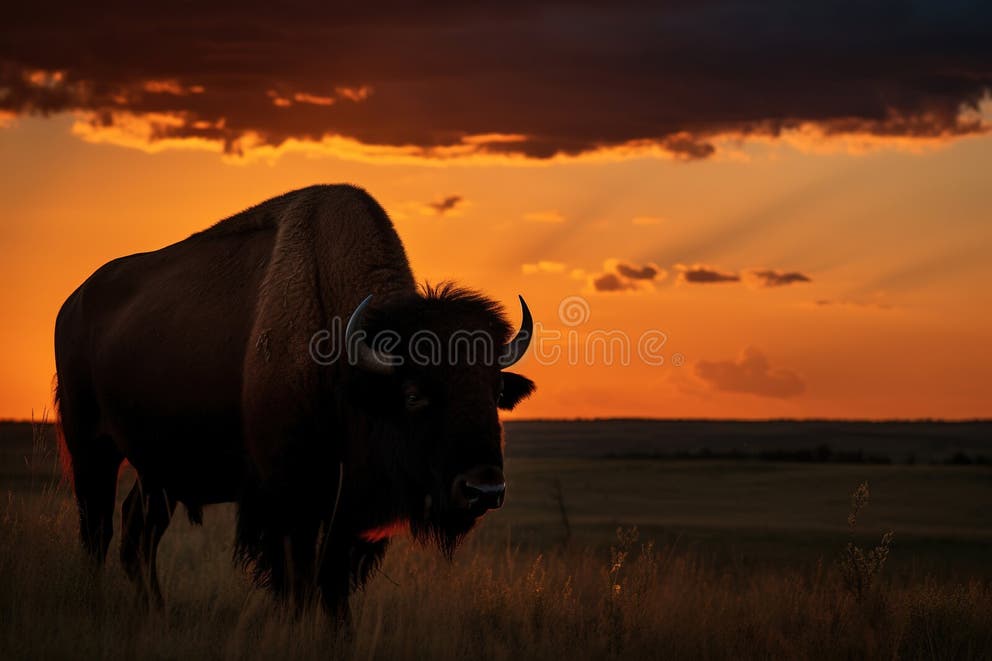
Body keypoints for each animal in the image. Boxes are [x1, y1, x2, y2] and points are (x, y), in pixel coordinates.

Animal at [54, 184, 535, 616]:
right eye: (413, 395)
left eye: (495, 391)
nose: (484, 489)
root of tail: (73, 302)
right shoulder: (289, 499)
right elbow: (298, 582)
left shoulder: (345, 514)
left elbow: (333, 586)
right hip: (91, 449)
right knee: (97, 530)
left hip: (158, 473)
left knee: (138, 533)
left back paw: (155, 611)